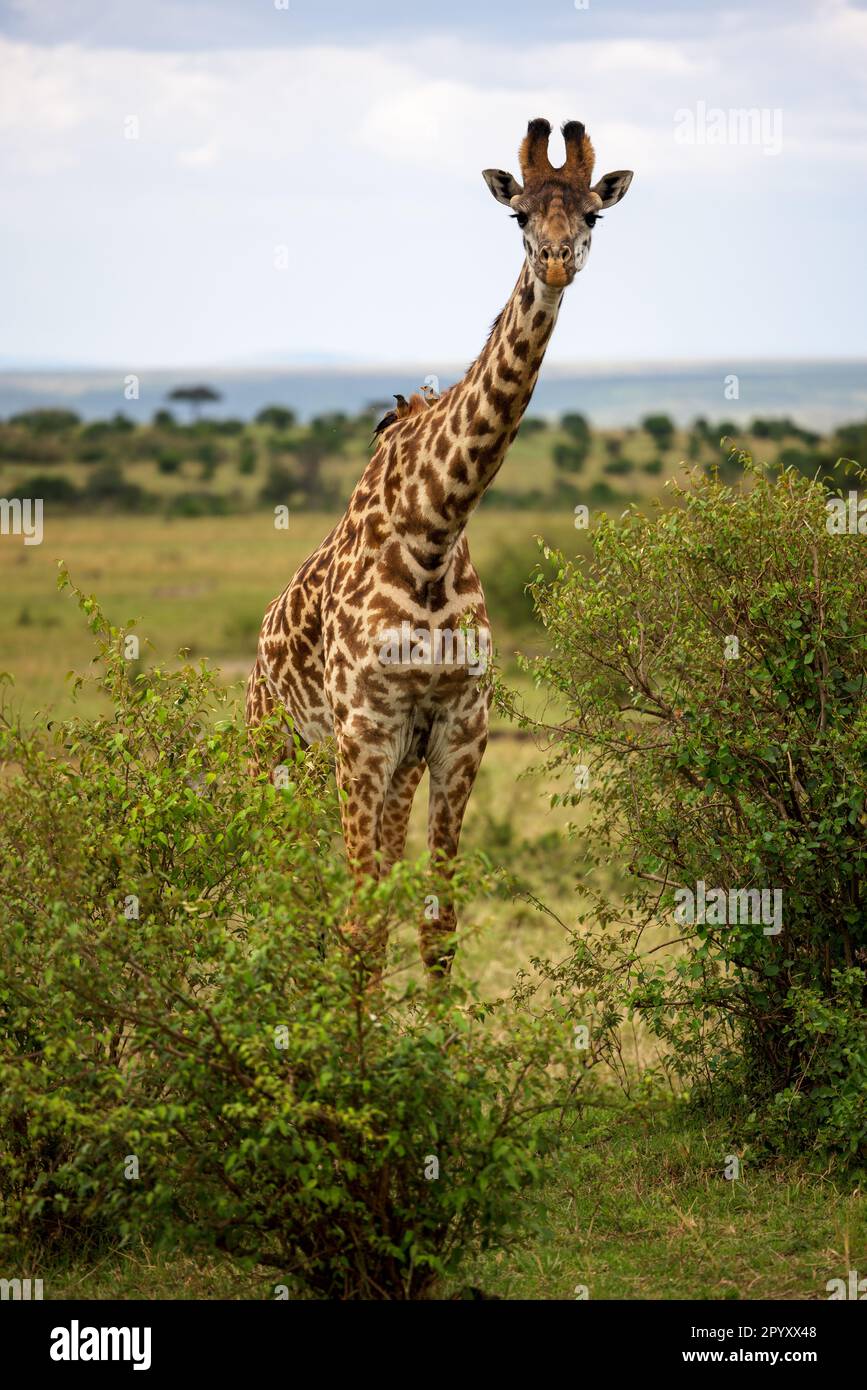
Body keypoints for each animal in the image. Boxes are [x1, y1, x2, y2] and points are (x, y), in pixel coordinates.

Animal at [246, 118, 632, 976]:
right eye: (518, 214)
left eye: (591, 213)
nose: (555, 261)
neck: (433, 526)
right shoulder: (362, 732)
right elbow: (359, 924)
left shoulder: (457, 732)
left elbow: (433, 922)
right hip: (273, 744)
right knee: (269, 885)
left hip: (383, 763)